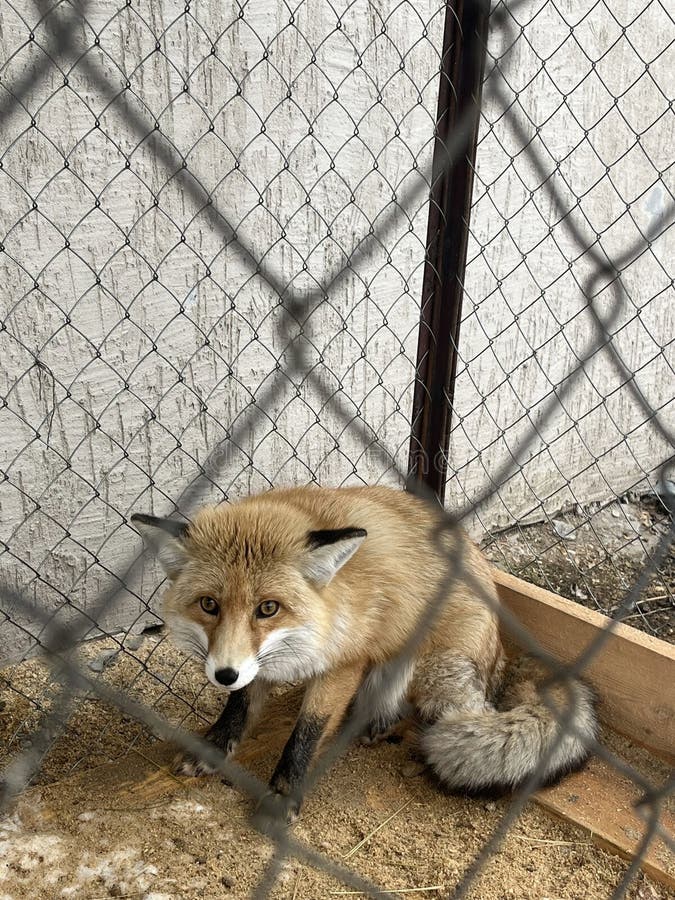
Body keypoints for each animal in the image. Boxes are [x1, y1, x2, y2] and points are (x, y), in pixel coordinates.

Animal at [131, 485, 596, 818]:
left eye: (268, 608)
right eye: (209, 604)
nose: (223, 675)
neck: (331, 600)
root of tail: (500, 645)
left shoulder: (344, 661)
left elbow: (307, 733)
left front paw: (284, 793)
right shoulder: (253, 664)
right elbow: (238, 708)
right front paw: (214, 747)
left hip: (435, 677)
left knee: (472, 720)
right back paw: (375, 721)